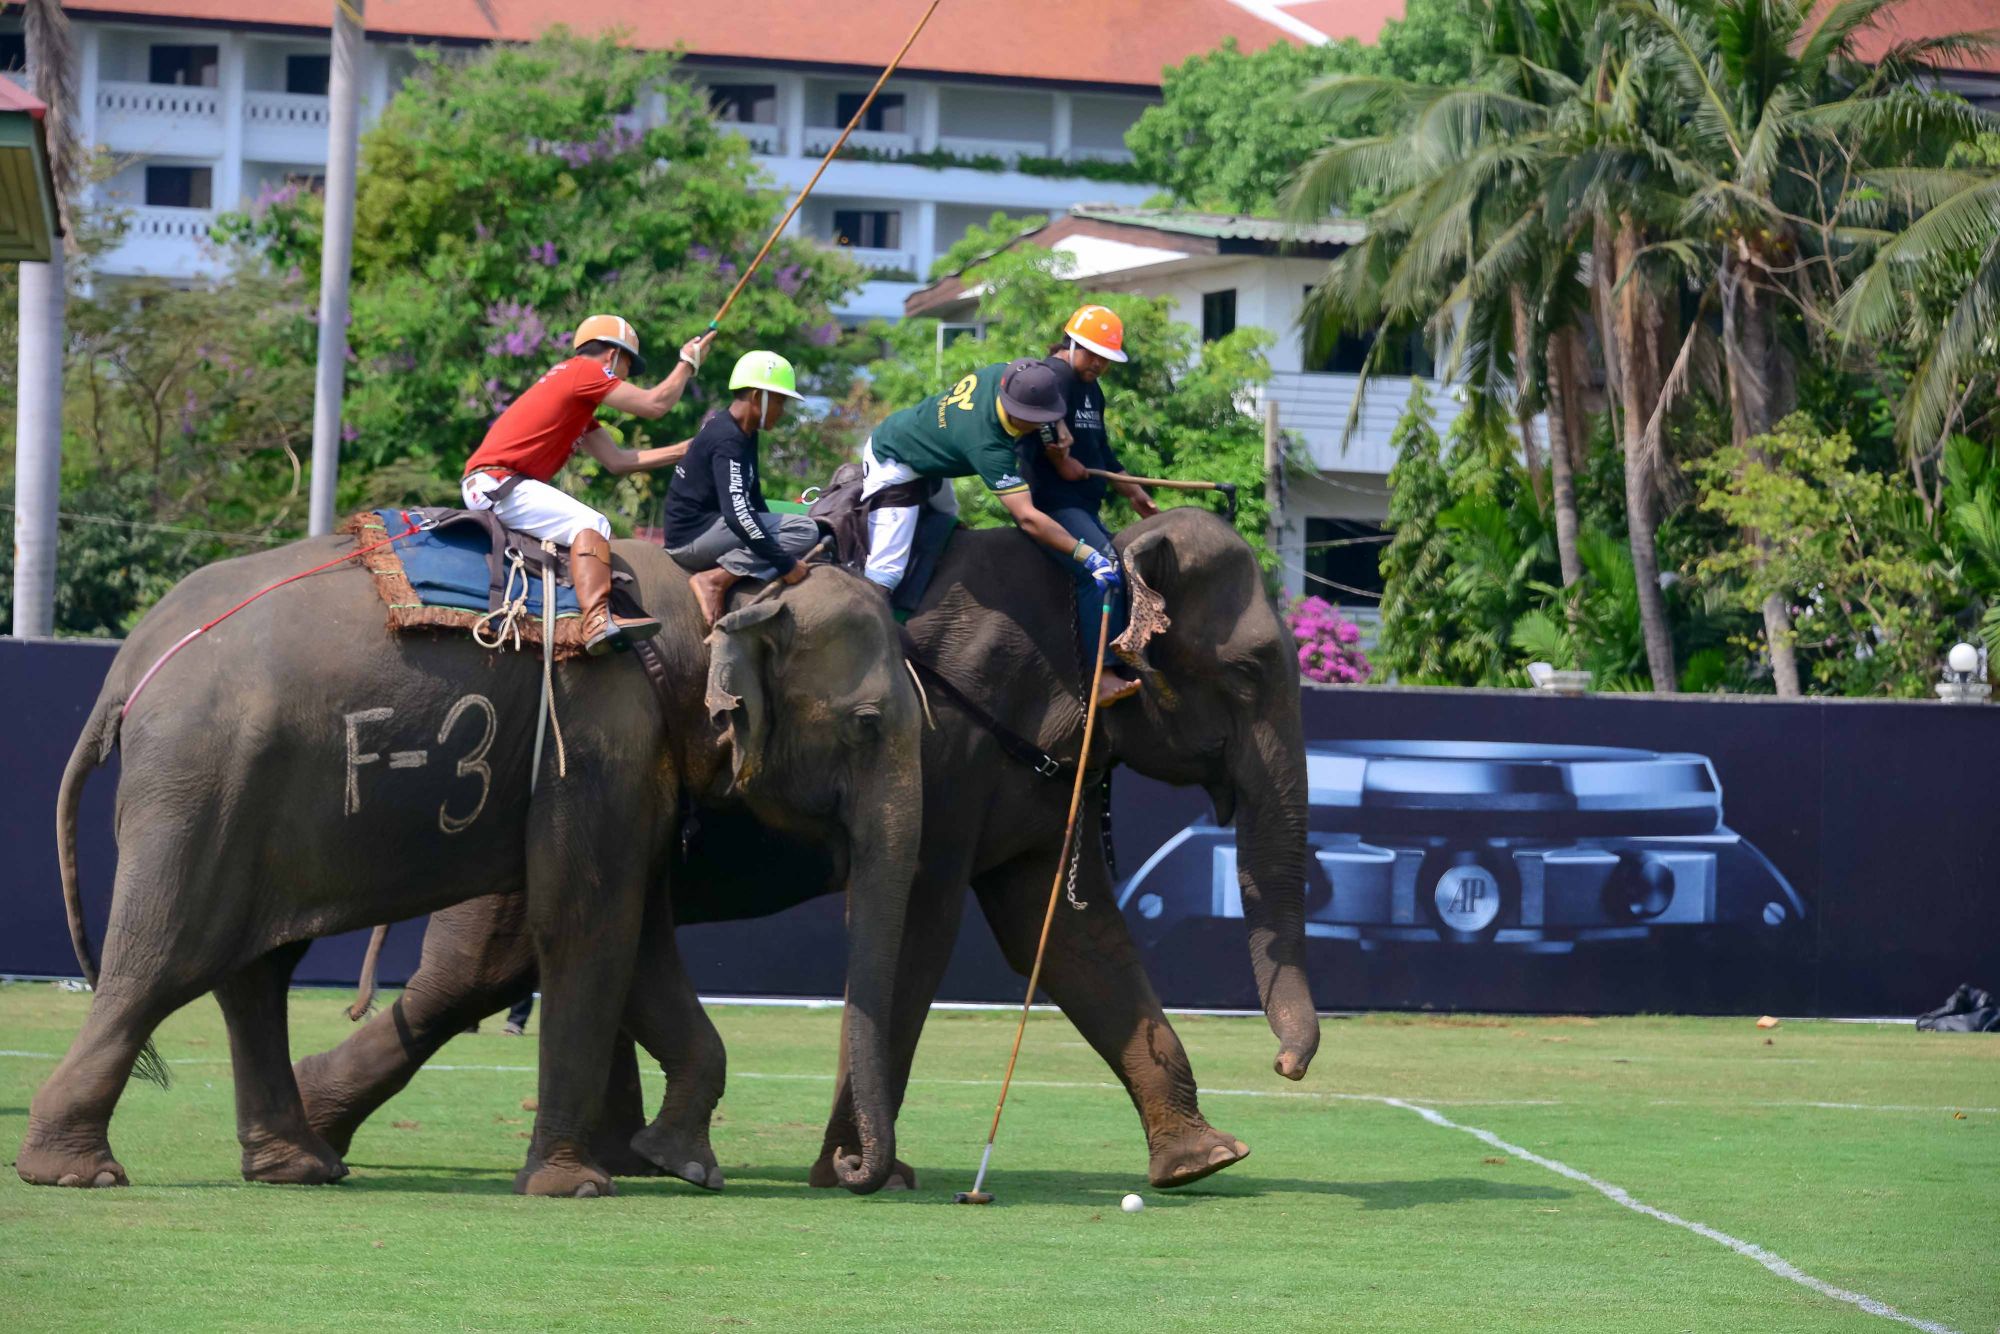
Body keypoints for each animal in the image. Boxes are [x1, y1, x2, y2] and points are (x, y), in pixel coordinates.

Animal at [16, 533, 921, 1197]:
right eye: (869, 723)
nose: (850, 1170)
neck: (702, 602)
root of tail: (132, 664)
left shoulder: (636, 762)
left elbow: (640, 938)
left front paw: (682, 1164)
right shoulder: (595, 734)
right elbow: (590, 922)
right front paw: (576, 1187)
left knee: (254, 971)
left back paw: (300, 1167)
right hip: (203, 786)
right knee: (164, 961)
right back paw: (76, 1173)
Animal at [292, 506, 1319, 1192]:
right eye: (1248, 671)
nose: (1286, 1068)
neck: (1089, 573)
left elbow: (1069, 938)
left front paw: (1203, 1162)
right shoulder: (956, 750)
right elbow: (922, 927)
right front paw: (864, 1171)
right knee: (482, 969)